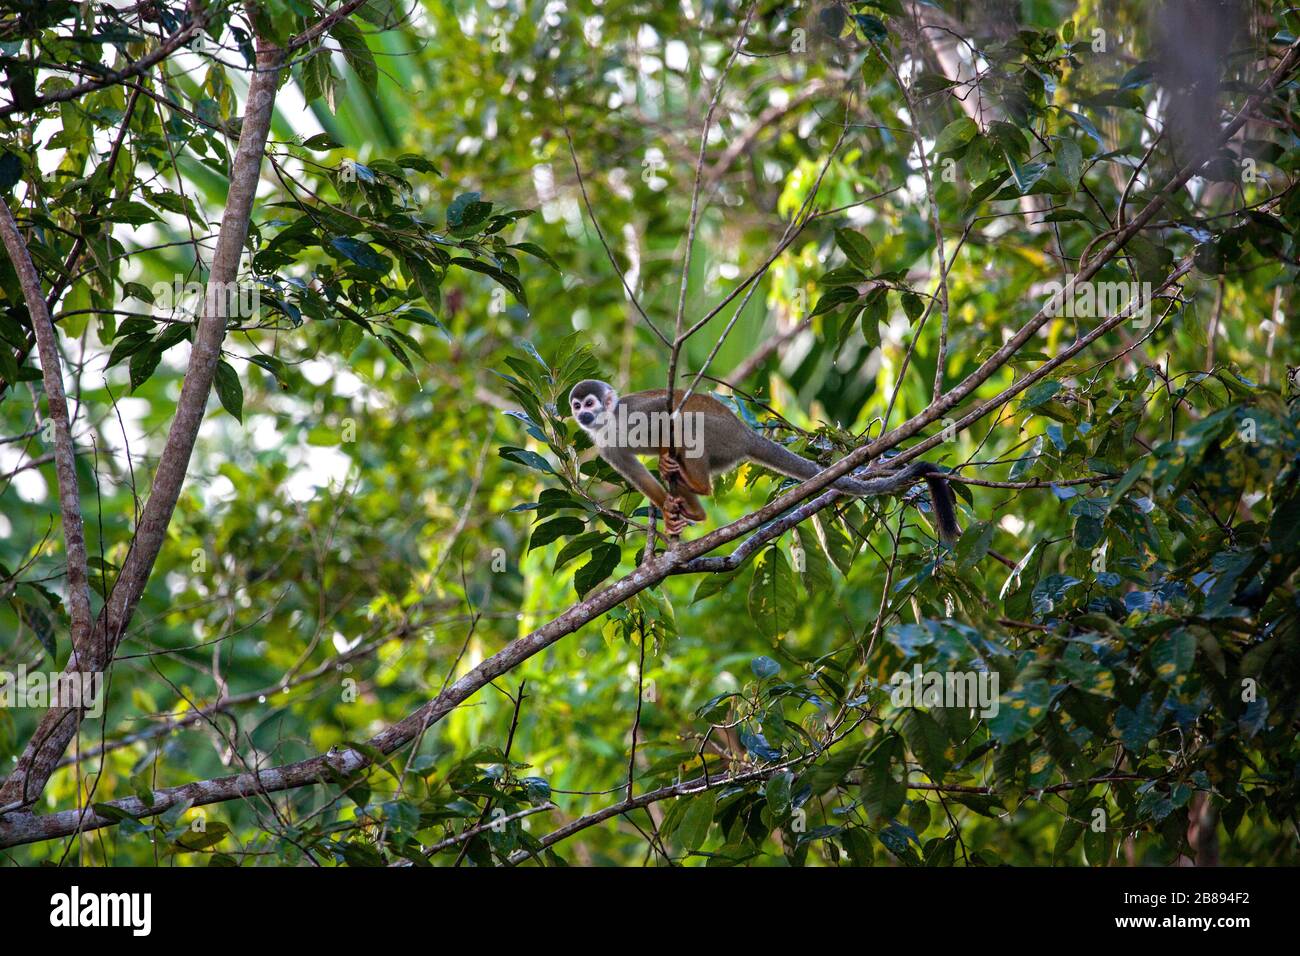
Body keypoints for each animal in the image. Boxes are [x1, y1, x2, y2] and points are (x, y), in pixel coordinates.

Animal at [568, 379, 961, 542]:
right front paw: (667, 507)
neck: (609, 422)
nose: (582, 415)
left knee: (688, 422)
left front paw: (667, 462)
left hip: (721, 435)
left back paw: (695, 484)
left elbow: (667, 418)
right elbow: (633, 471)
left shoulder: (634, 412)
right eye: (576, 406)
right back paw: (692, 507)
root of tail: (747, 435)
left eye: (589, 403)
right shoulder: (605, 445)